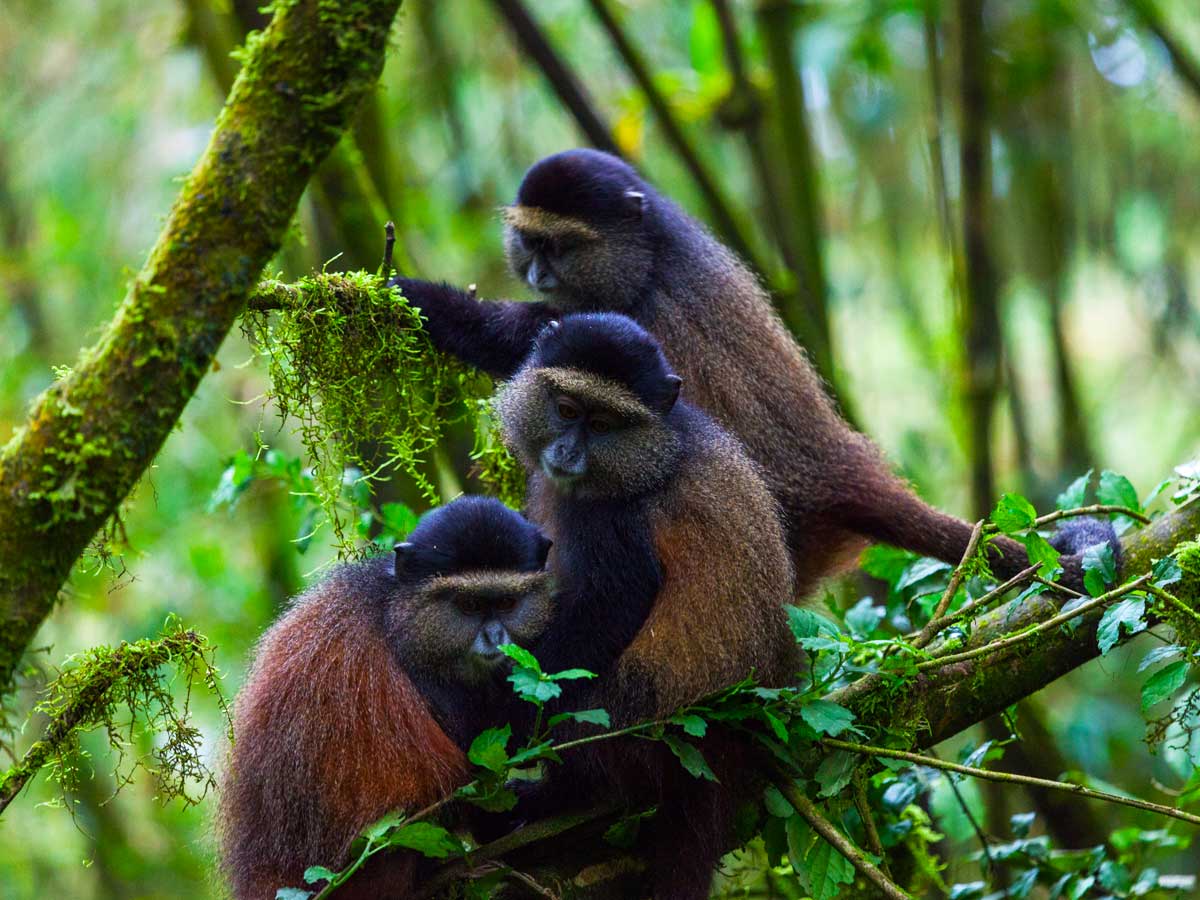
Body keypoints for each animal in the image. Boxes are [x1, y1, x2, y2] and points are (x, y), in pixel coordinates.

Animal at [393, 148, 1115, 592]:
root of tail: (837, 468)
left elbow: (528, 340)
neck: (650, 254)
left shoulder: (628, 320)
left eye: (561, 245)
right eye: (530, 242)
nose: (539, 272)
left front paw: (410, 296)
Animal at [494, 312, 801, 900]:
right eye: (566, 410)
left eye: (602, 424)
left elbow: (609, 607)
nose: (566, 454)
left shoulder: (614, 523)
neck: (652, 451)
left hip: (635, 725)